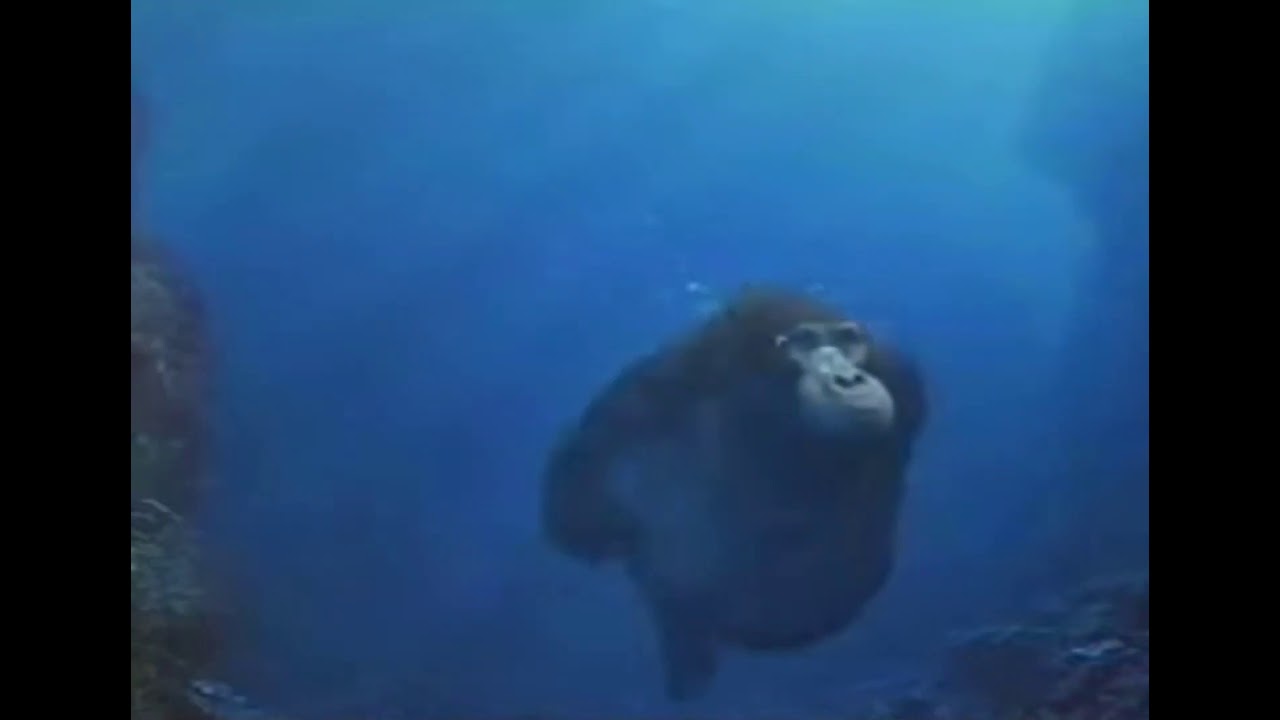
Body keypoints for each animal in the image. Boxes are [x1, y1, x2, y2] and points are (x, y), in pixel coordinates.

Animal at [540, 284, 928, 701]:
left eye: (847, 341)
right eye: (804, 343)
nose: (847, 377)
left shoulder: (899, 376)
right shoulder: (664, 387)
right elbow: (583, 477)